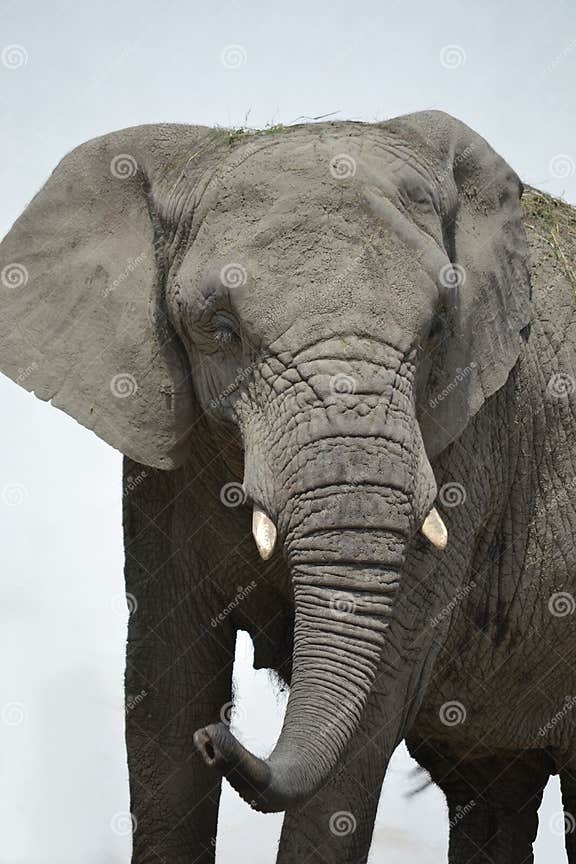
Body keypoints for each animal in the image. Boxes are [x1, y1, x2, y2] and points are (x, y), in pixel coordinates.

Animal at [1, 109, 575, 864]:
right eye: (220, 330)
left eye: (437, 328)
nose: (221, 738)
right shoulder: (162, 457)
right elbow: (166, 683)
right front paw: (190, 726)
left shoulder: (472, 437)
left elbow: (374, 705)